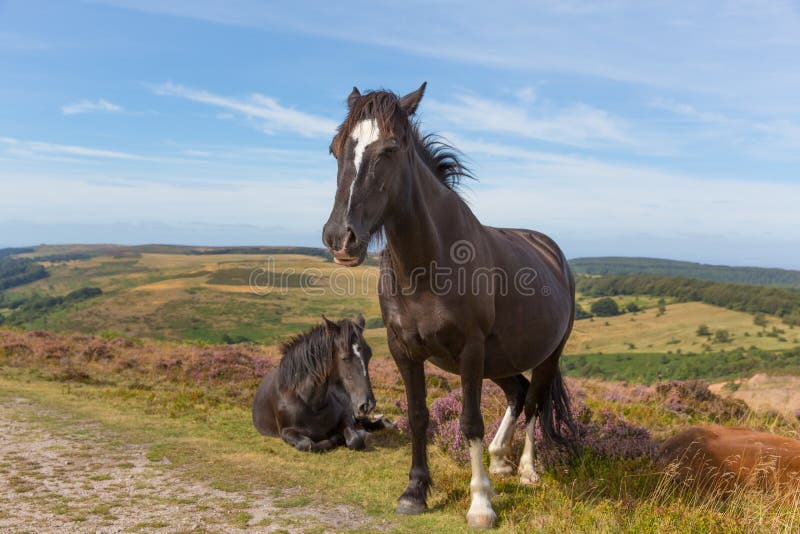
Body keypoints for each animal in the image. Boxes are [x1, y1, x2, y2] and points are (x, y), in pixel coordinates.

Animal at [252, 314, 389, 452]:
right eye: (344, 358)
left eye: (369, 354)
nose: (367, 405)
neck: (310, 403)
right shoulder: (286, 431)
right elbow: (308, 444)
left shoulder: (346, 417)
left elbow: (355, 440)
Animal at [322, 83, 576, 528]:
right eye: (336, 149)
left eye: (390, 149)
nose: (341, 238)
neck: (427, 265)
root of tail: (553, 252)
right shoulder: (403, 351)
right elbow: (419, 416)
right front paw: (415, 492)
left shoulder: (470, 349)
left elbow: (469, 421)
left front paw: (481, 504)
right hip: (501, 360)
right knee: (518, 393)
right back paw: (500, 460)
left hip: (546, 355)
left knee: (534, 402)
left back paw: (527, 470)